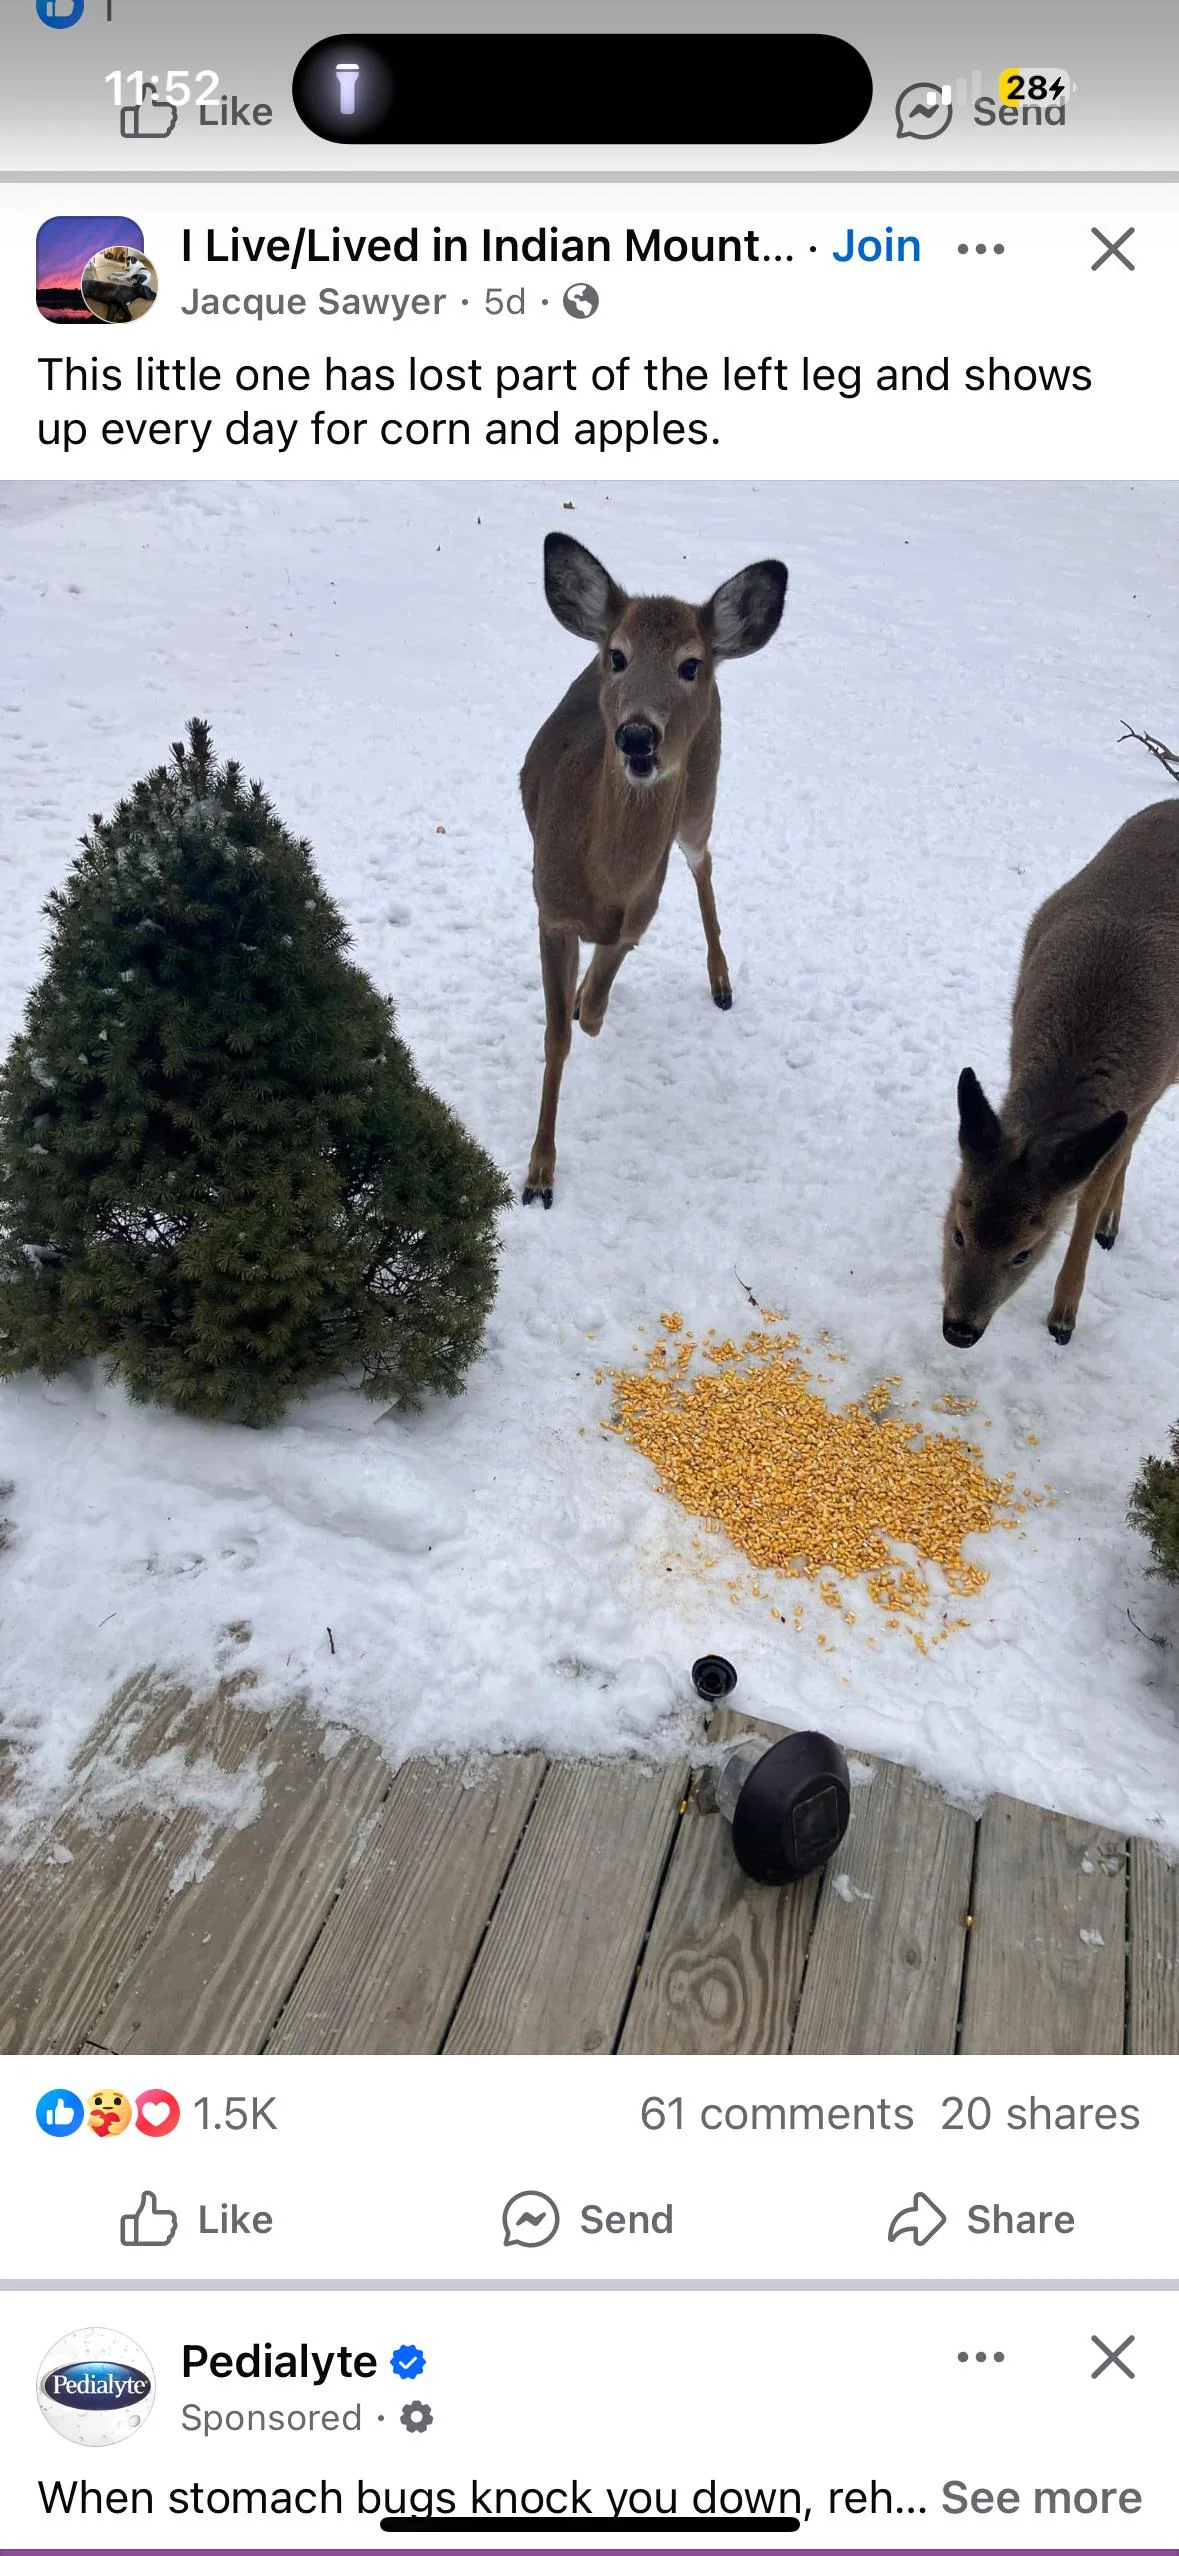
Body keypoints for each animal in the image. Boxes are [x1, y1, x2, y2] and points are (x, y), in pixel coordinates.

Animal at [519, 532, 788, 1205]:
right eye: (617, 656)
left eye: (690, 665)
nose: (638, 736)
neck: (602, 879)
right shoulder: (549, 909)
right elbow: (558, 1035)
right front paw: (538, 1177)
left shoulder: (637, 918)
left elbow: (592, 1010)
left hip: (701, 799)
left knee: (703, 861)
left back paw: (721, 982)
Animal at [942, 797, 1179, 1349]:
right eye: (958, 1230)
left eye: (1024, 1252)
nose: (959, 1329)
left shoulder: (1139, 1098)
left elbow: (1091, 1193)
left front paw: (1064, 1316)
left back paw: (1111, 1225)